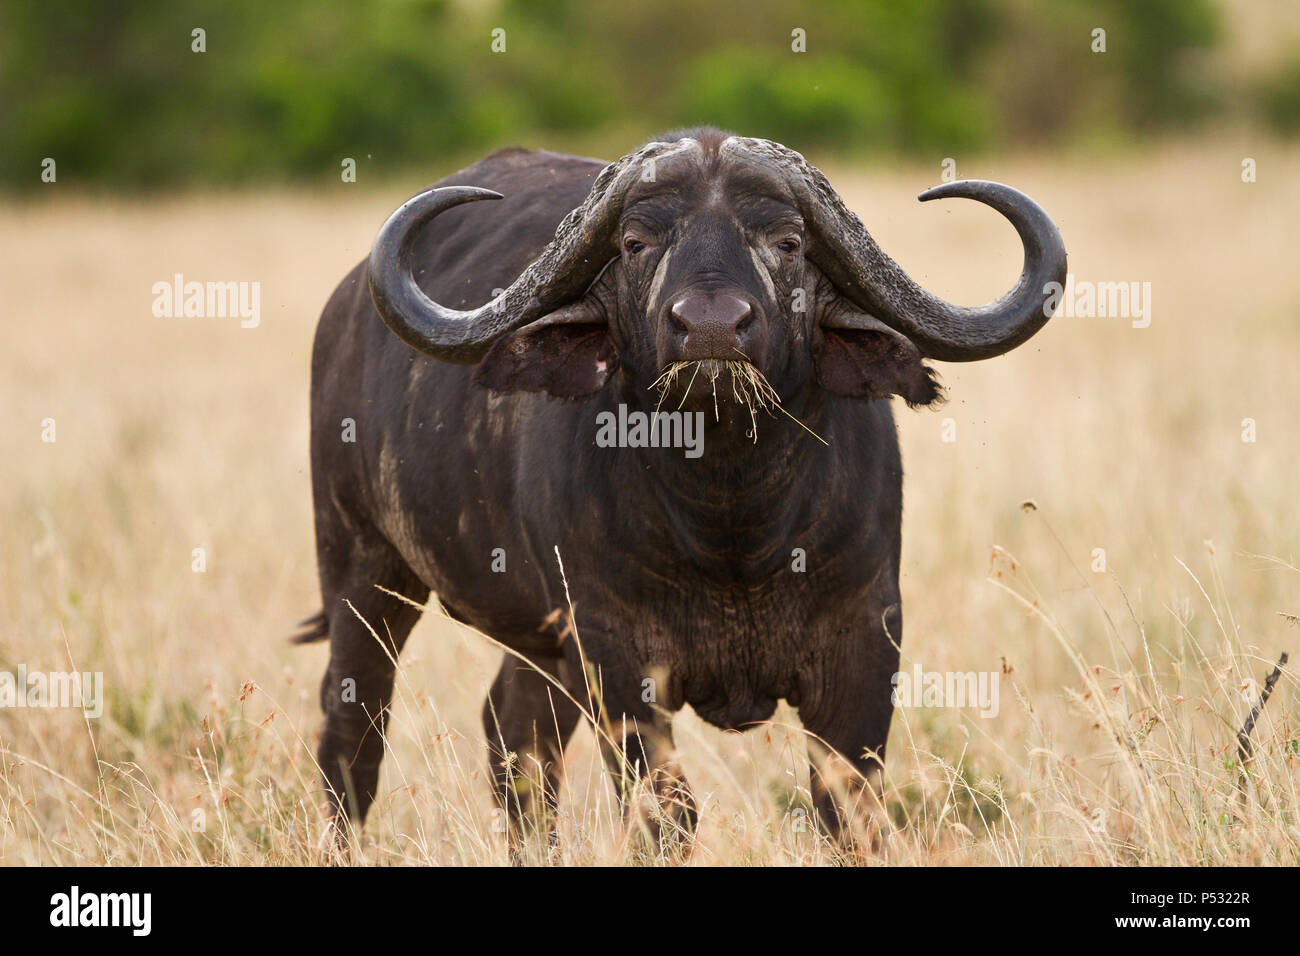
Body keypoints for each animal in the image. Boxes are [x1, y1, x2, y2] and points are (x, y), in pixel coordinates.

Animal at [298, 127, 1066, 848]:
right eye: (637, 242)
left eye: (787, 241)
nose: (711, 327)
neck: (733, 522)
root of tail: (343, 313)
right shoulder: (615, 656)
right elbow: (667, 814)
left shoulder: (866, 644)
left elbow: (847, 810)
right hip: (363, 567)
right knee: (353, 733)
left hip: (536, 639)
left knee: (516, 740)